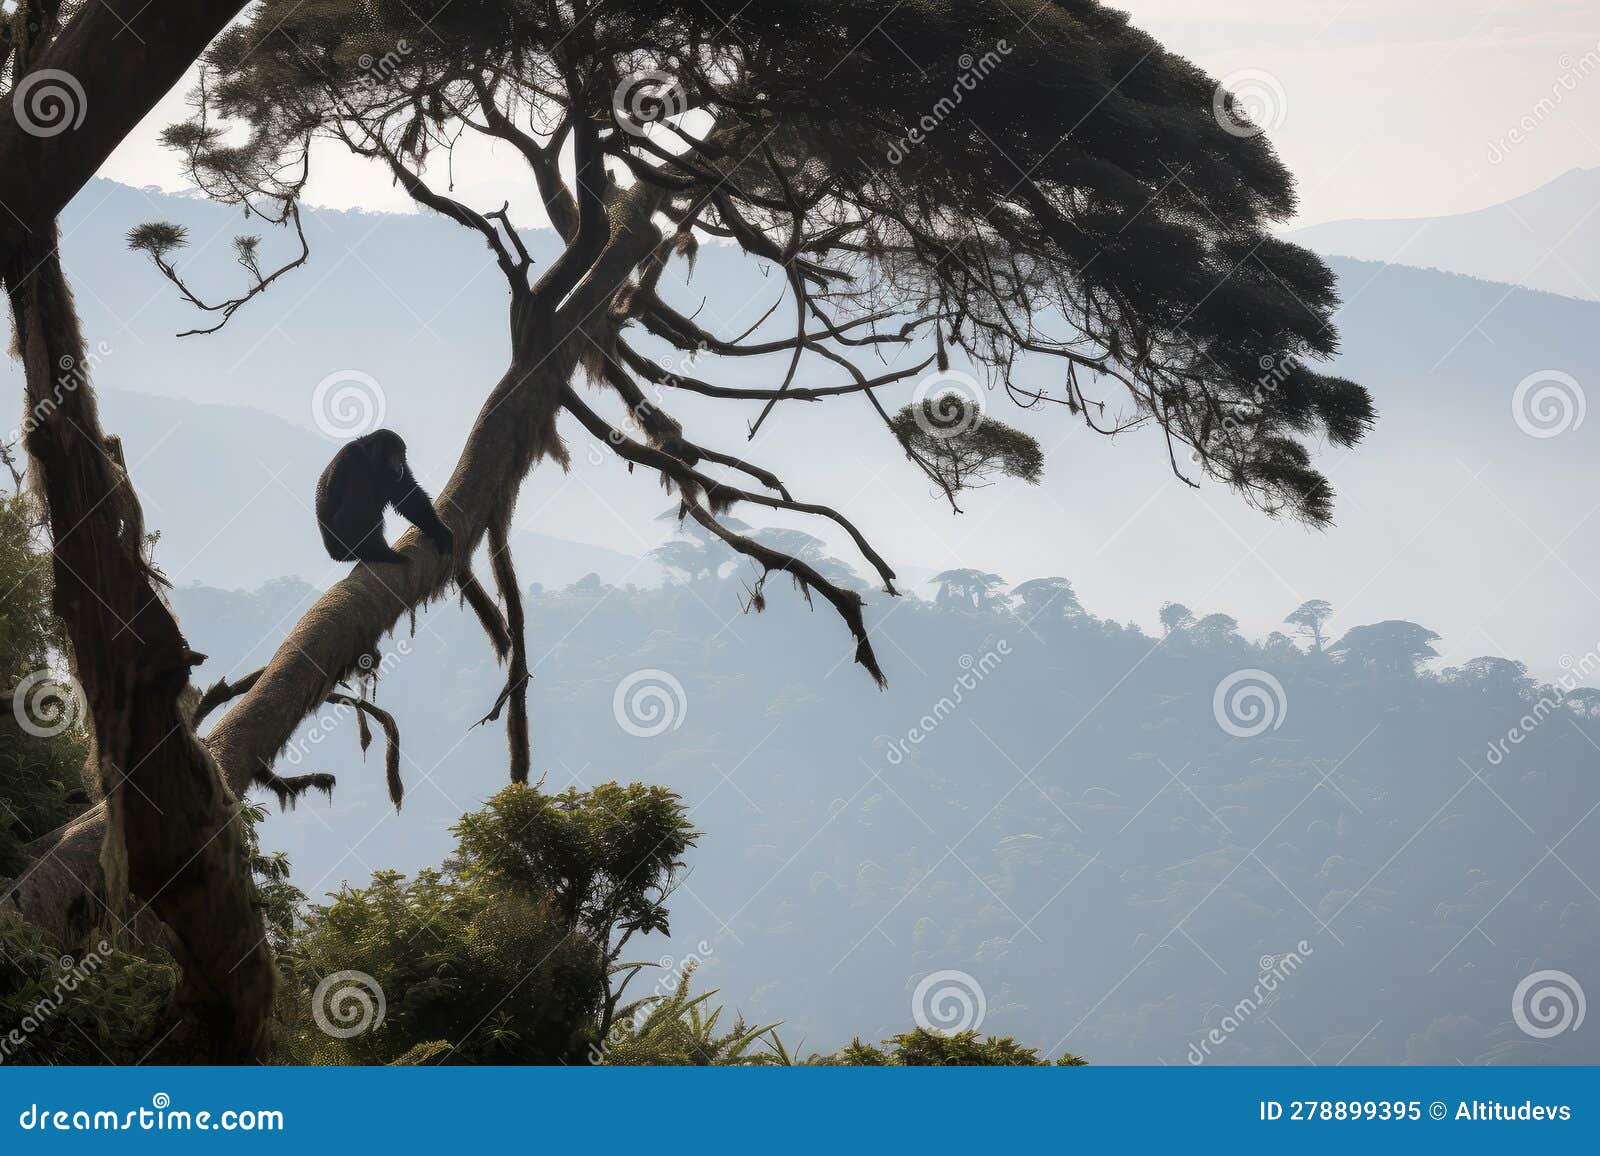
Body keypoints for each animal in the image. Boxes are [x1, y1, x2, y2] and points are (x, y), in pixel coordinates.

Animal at [316, 429, 453, 564]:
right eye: (393, 455)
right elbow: (349, 516)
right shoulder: (354, 462)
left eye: (401, 456)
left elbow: (408, 498)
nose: (400, 466)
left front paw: (439, 532)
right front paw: (385, 554)